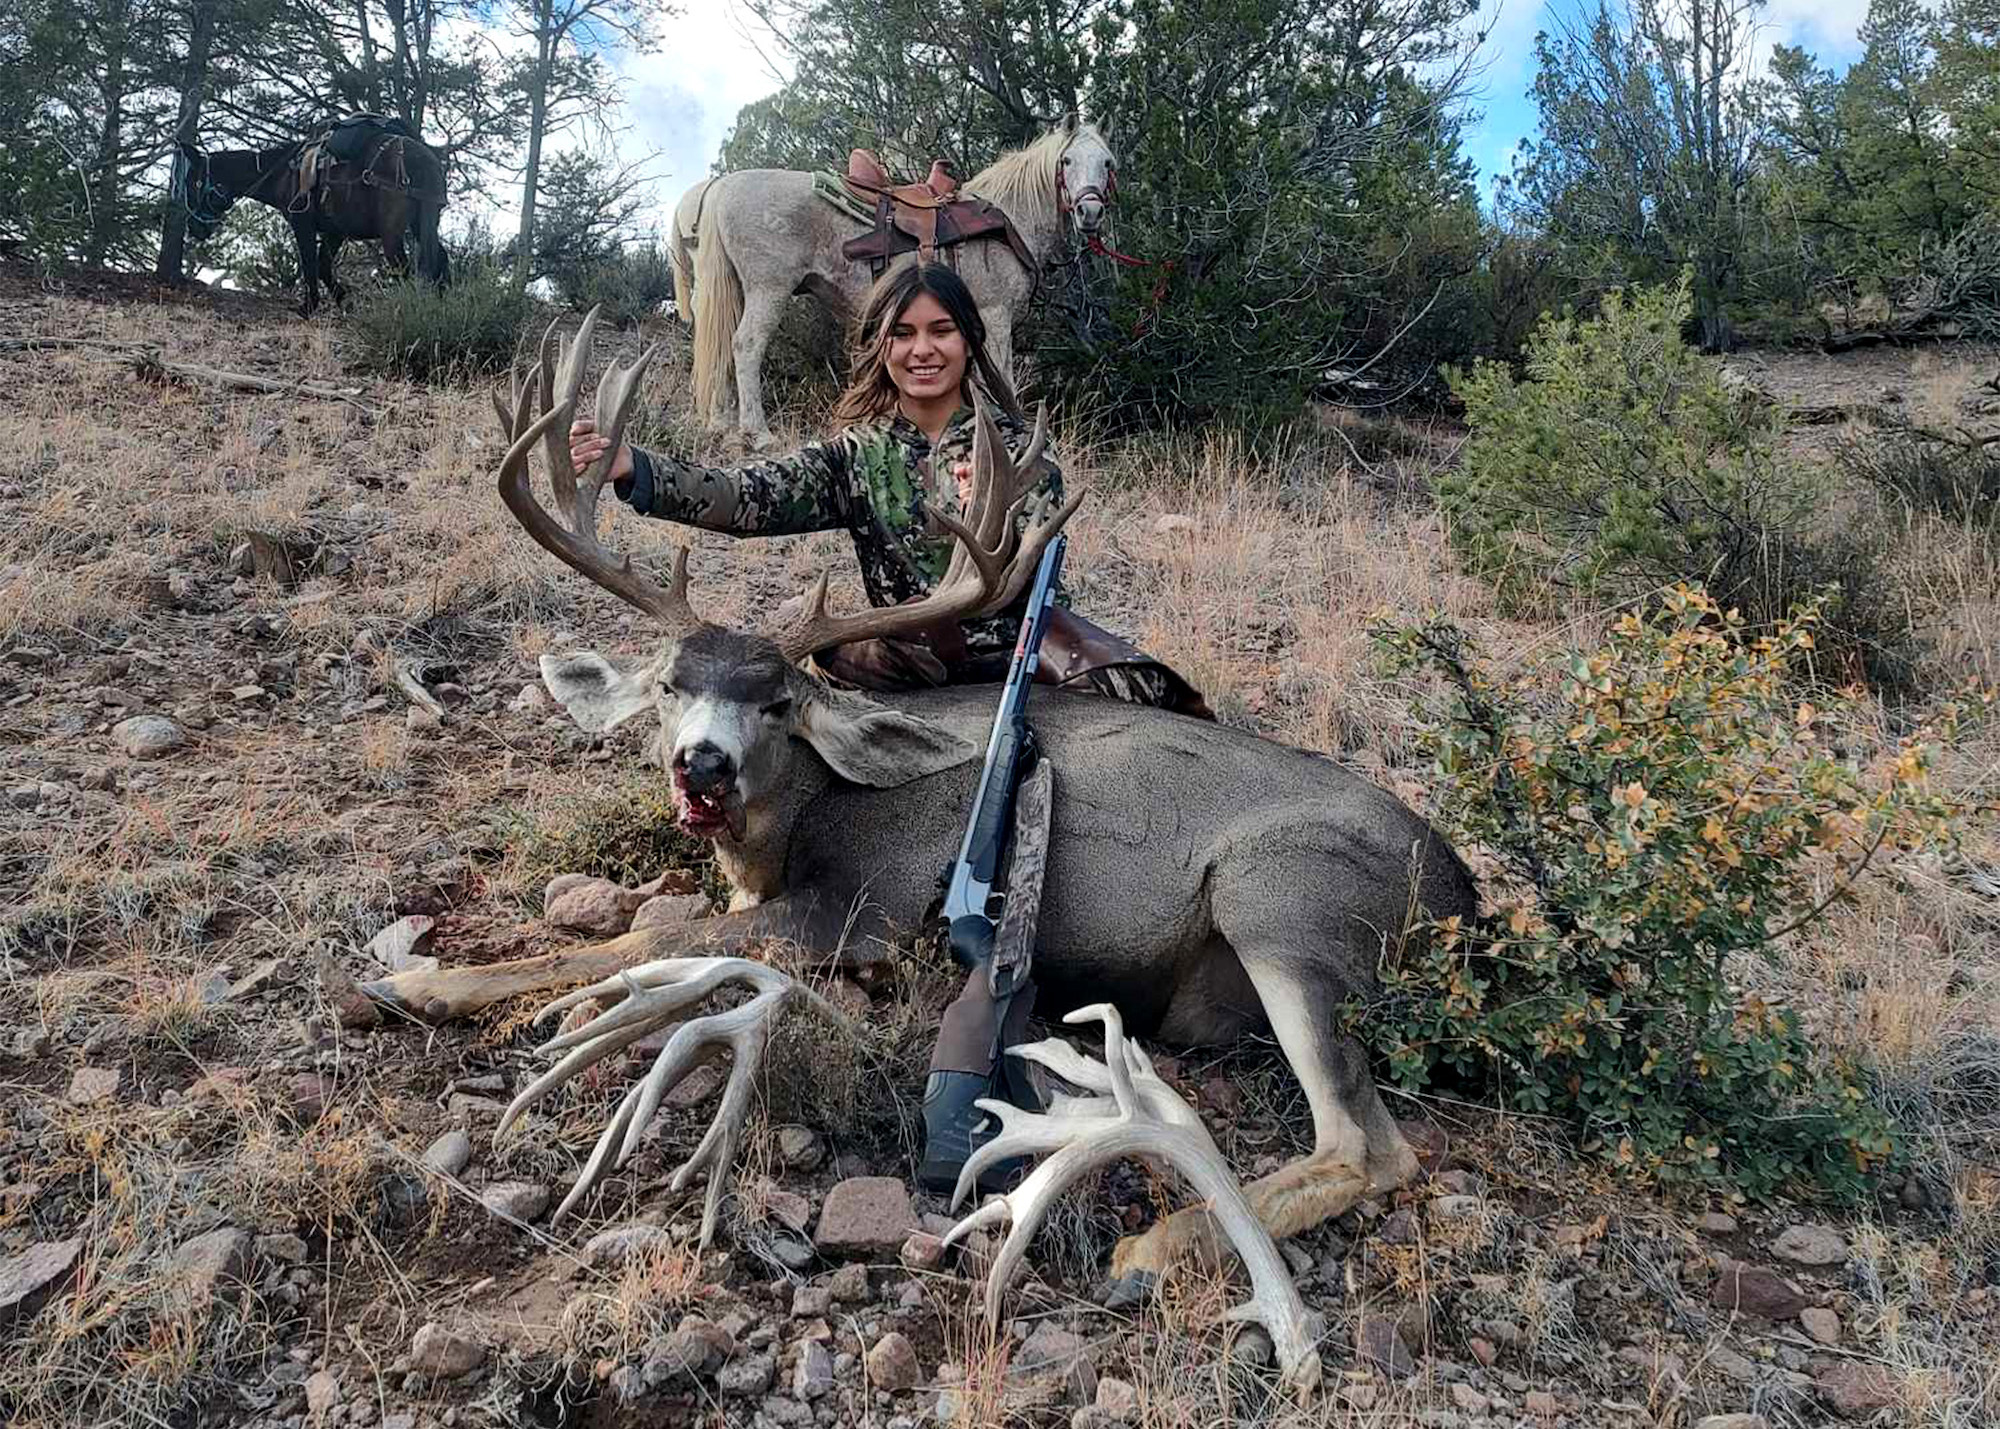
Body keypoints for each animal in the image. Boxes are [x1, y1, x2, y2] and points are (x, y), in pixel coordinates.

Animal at [357, 309, 1477, 1389]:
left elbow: (644, 944)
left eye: (779, 702)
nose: (702, 766)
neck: (800, 820)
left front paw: (427, 985)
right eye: (671, 685)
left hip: (1285, 905)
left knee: (1369, 1146)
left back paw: (1155, 1245)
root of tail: (1464, 894)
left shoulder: (862, 907)